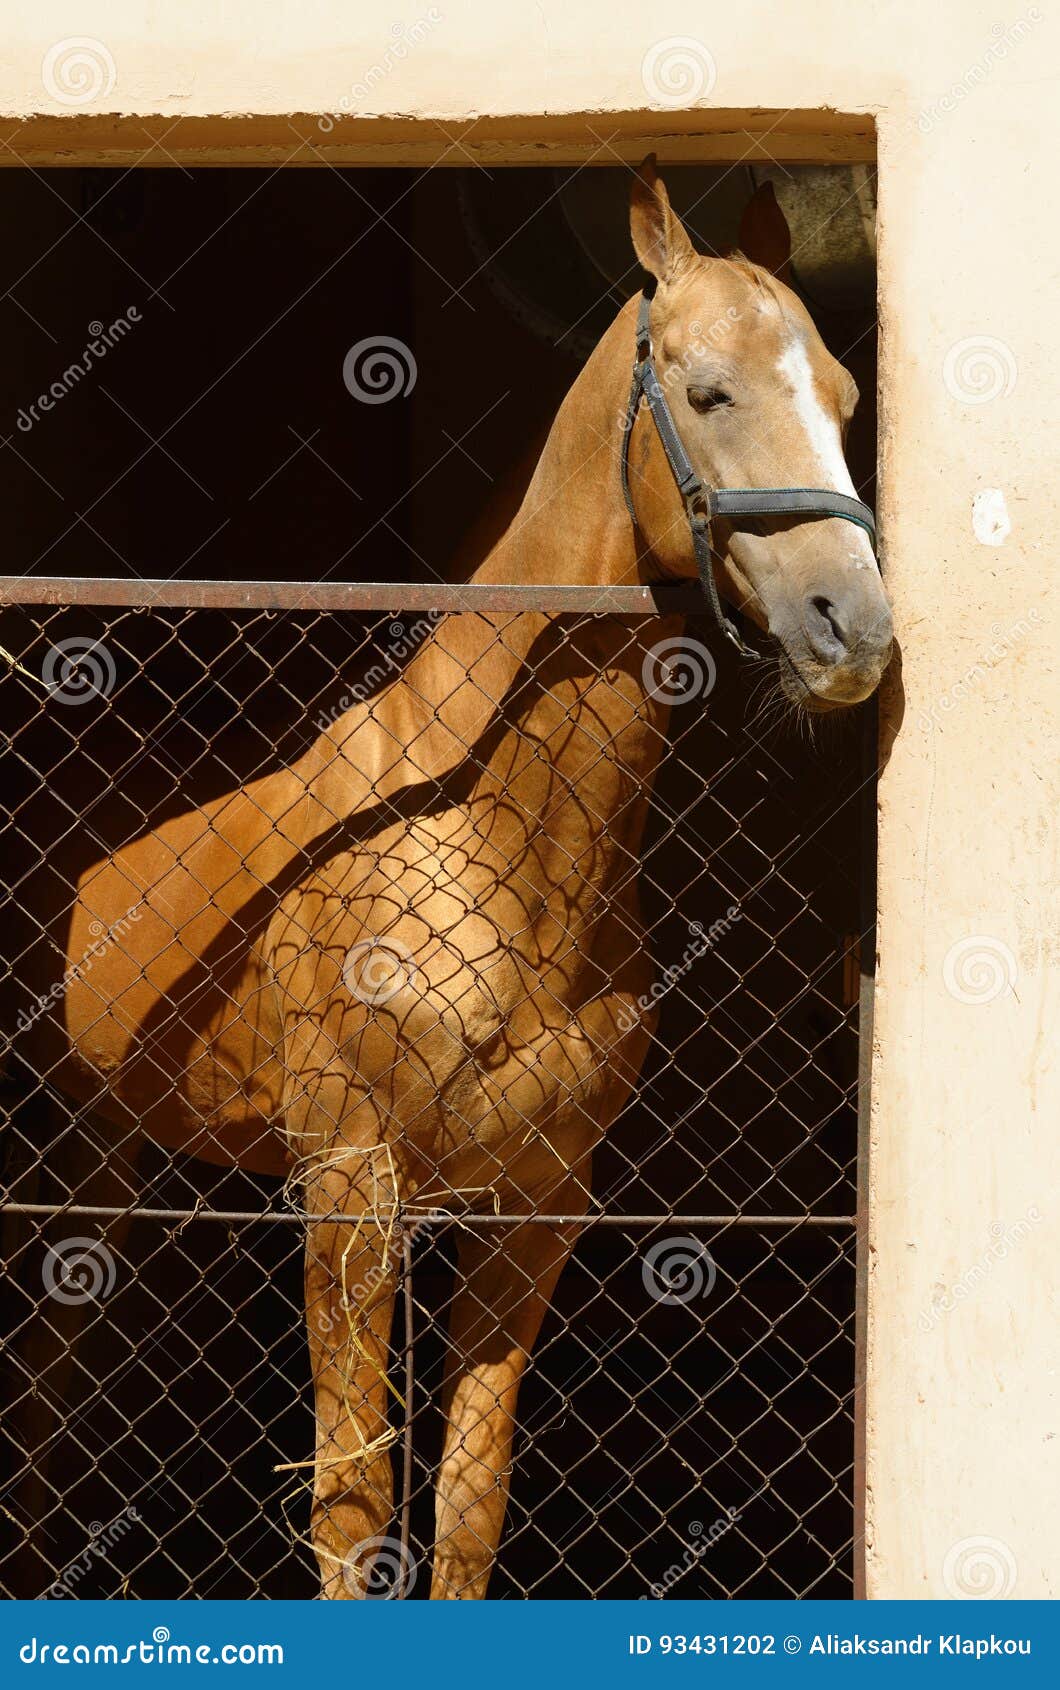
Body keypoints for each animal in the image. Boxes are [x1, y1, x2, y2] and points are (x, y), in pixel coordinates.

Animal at [4, 160, 892, 1599]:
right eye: (707, 391)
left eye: (845, 396)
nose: (852, 626)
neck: (486, 831)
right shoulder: (350, 1184)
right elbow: (354, 1502)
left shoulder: (533, 1204)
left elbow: (467, 1502)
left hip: (98, 1153)